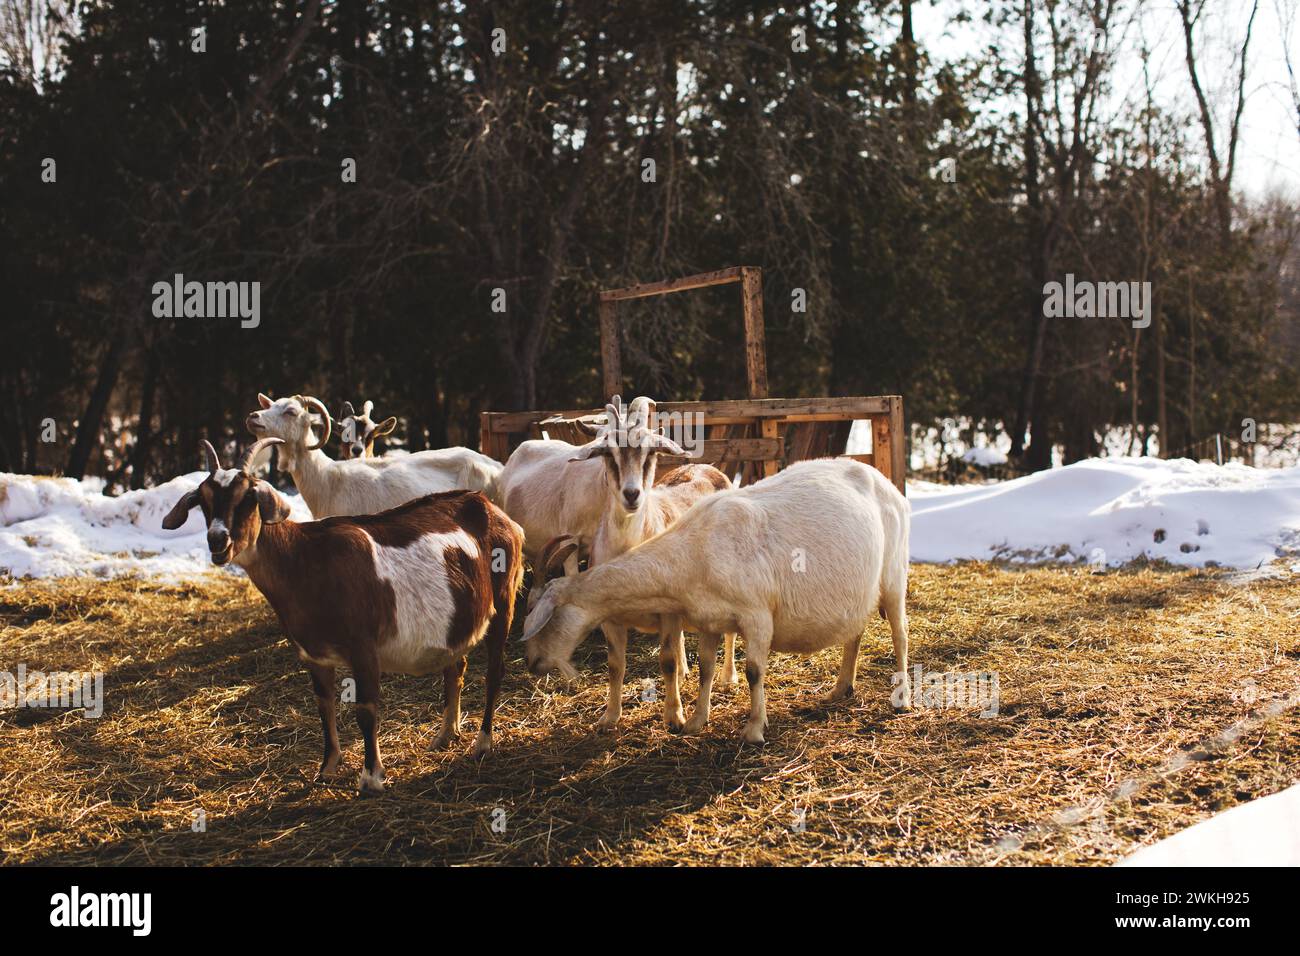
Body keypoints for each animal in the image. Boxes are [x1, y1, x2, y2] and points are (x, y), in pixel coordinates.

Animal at [162, 437, 524, 795]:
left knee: (495, 670)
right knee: (456, 666)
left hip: (504, 601)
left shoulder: (364, 648)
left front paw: (371, 777)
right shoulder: (314, 655)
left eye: (248, 497)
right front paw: (327, 767)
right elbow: (324, 707)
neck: (304, 559)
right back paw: (446, 734)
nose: (217, 541)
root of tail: (494, 510)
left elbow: (366, 710)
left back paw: (482, 742)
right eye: (203, 501)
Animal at [523, 457, 911, 744]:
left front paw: (753, 729)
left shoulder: (758, 616)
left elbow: (754, 671)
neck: (694, 551)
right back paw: (841, 688)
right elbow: (706, 669)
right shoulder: (707, 618)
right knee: (855, 633)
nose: (532, 663)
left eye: (546, 618)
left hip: (894, 577)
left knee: (900, 635)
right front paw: (696, 721)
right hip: (860, 592)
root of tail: (882, 478)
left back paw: (902, 699)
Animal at [558, 396, 738, 732]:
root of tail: (704, 467)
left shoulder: (667, 613)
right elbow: (616, 665)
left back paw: (728, 677)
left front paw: (675, 717)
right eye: (608, 453)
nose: (632, 494)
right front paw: (609, 717)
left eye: (650, 453)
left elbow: (665, 661)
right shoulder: (610, 618)